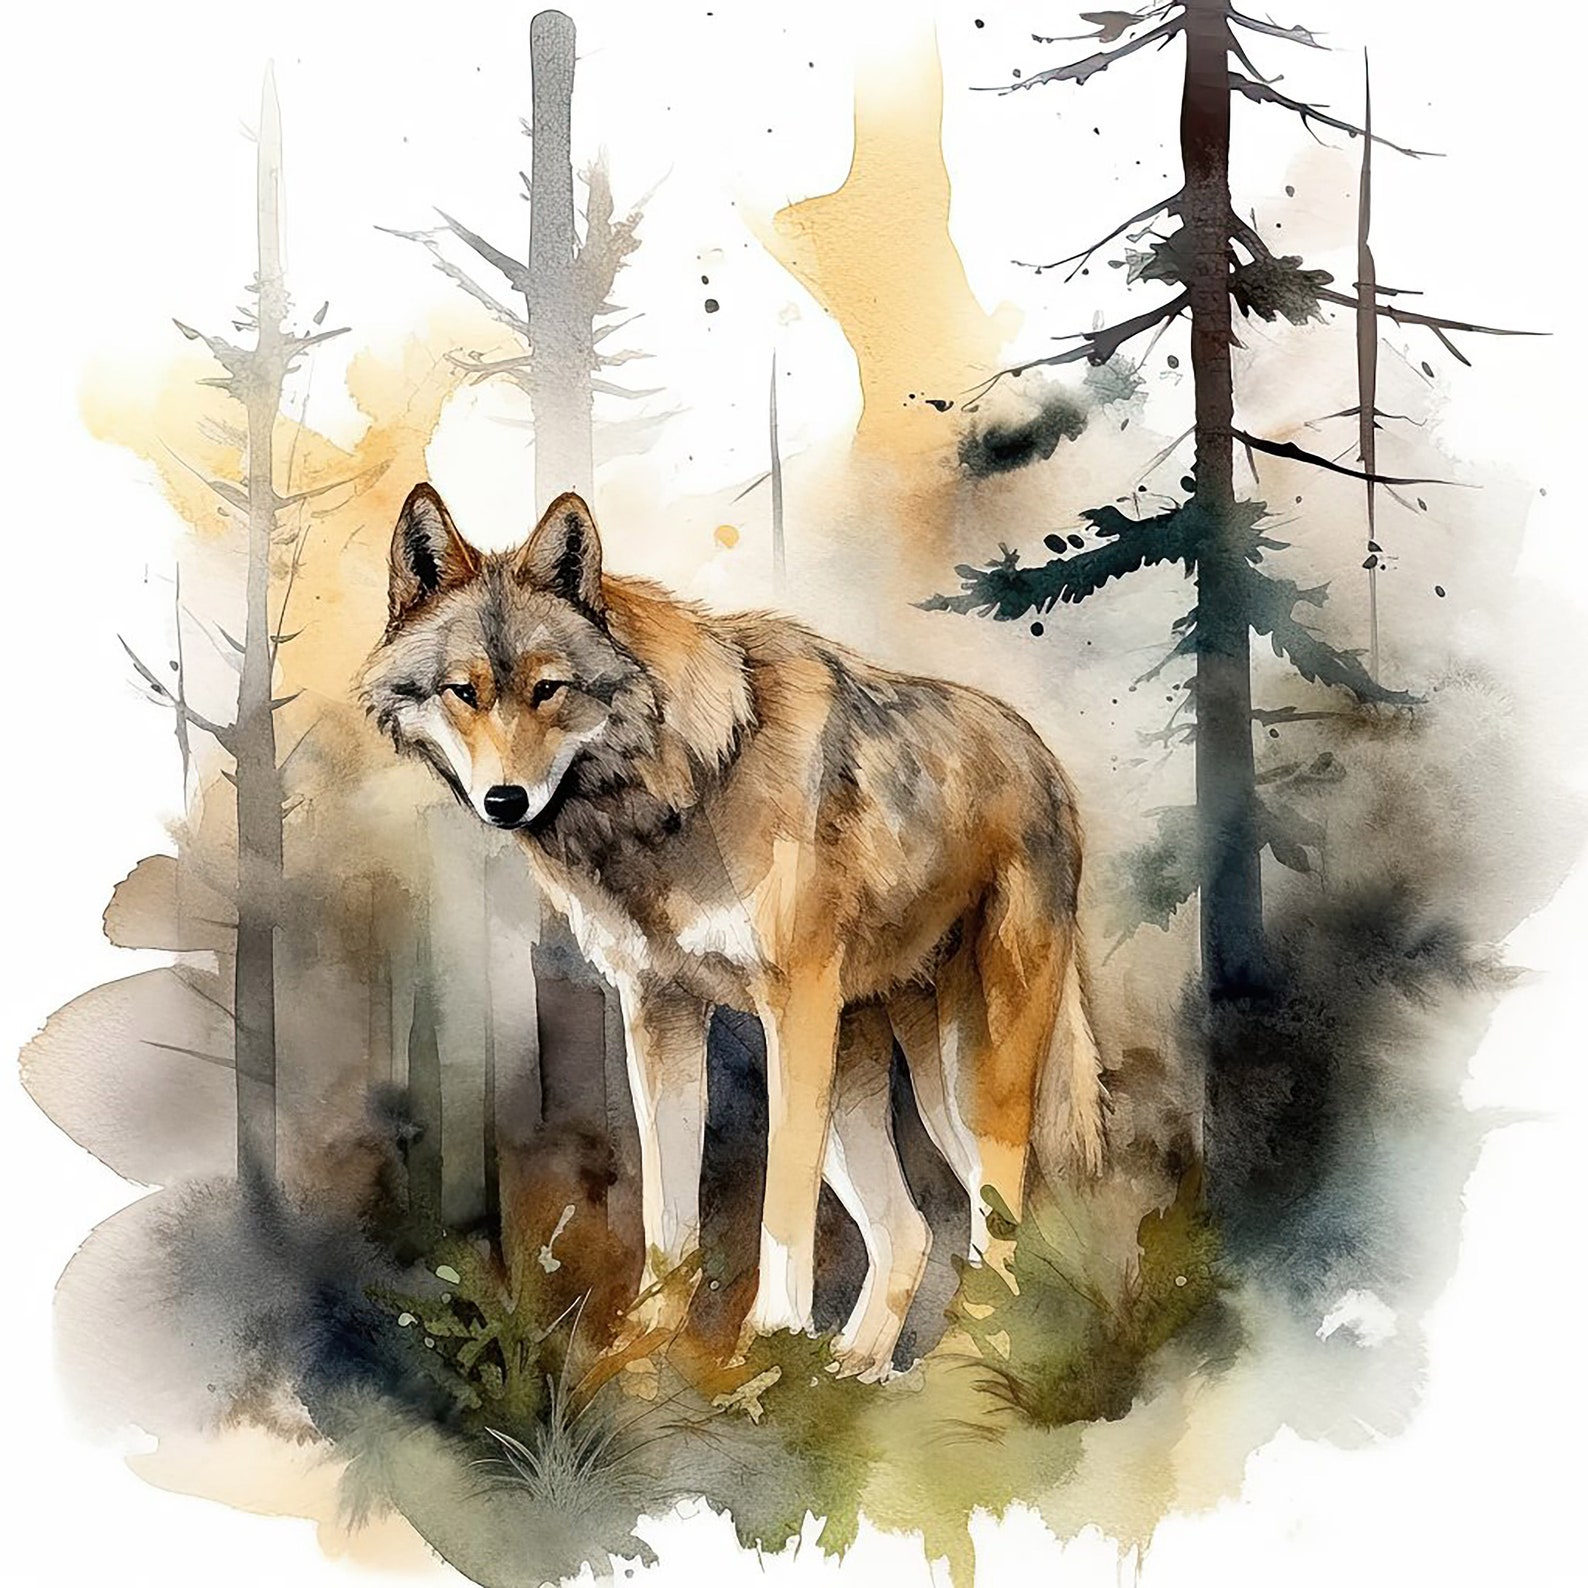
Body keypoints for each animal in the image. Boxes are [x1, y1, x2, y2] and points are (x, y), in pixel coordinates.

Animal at [363, 484, 1107, 1377]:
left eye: (548, 689)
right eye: (461, 691)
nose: (504, 800)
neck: (680, 787)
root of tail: (1047, 761)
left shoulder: (793, 1009)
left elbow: (780, 1211)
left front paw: (763, 1348)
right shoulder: (658, 1012)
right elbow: (668, 1212)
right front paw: (643, 1348)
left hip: (968, 1071)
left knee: (998, 1219)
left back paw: (960, 1364)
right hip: (886, 1076)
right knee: (916, 1230)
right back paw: (856, 1374)